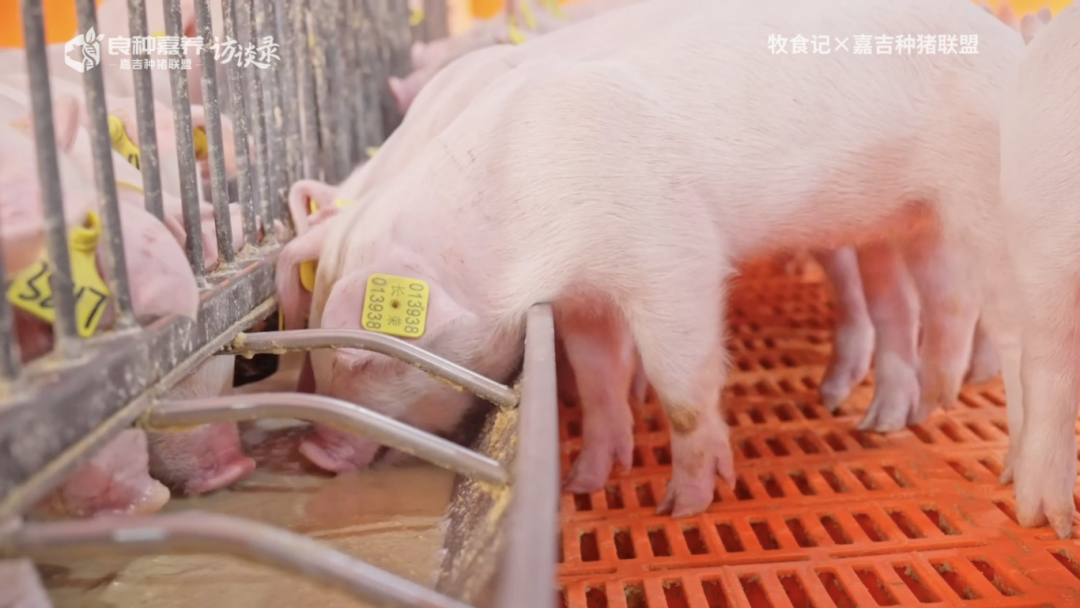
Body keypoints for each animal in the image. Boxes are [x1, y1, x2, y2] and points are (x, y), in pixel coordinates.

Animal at [279, 0, 1028, 518]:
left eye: (361, 358)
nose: (313, 453)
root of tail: (1004, 39)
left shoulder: (673, 256)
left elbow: (683, 388)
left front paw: (684, 506)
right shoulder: (580, 297)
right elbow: (598, 377)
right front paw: (586, 479)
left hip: (967, 198)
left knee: (964, 298)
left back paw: (950, 399)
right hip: (885, 224)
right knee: (900, 302)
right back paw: (884, 418)